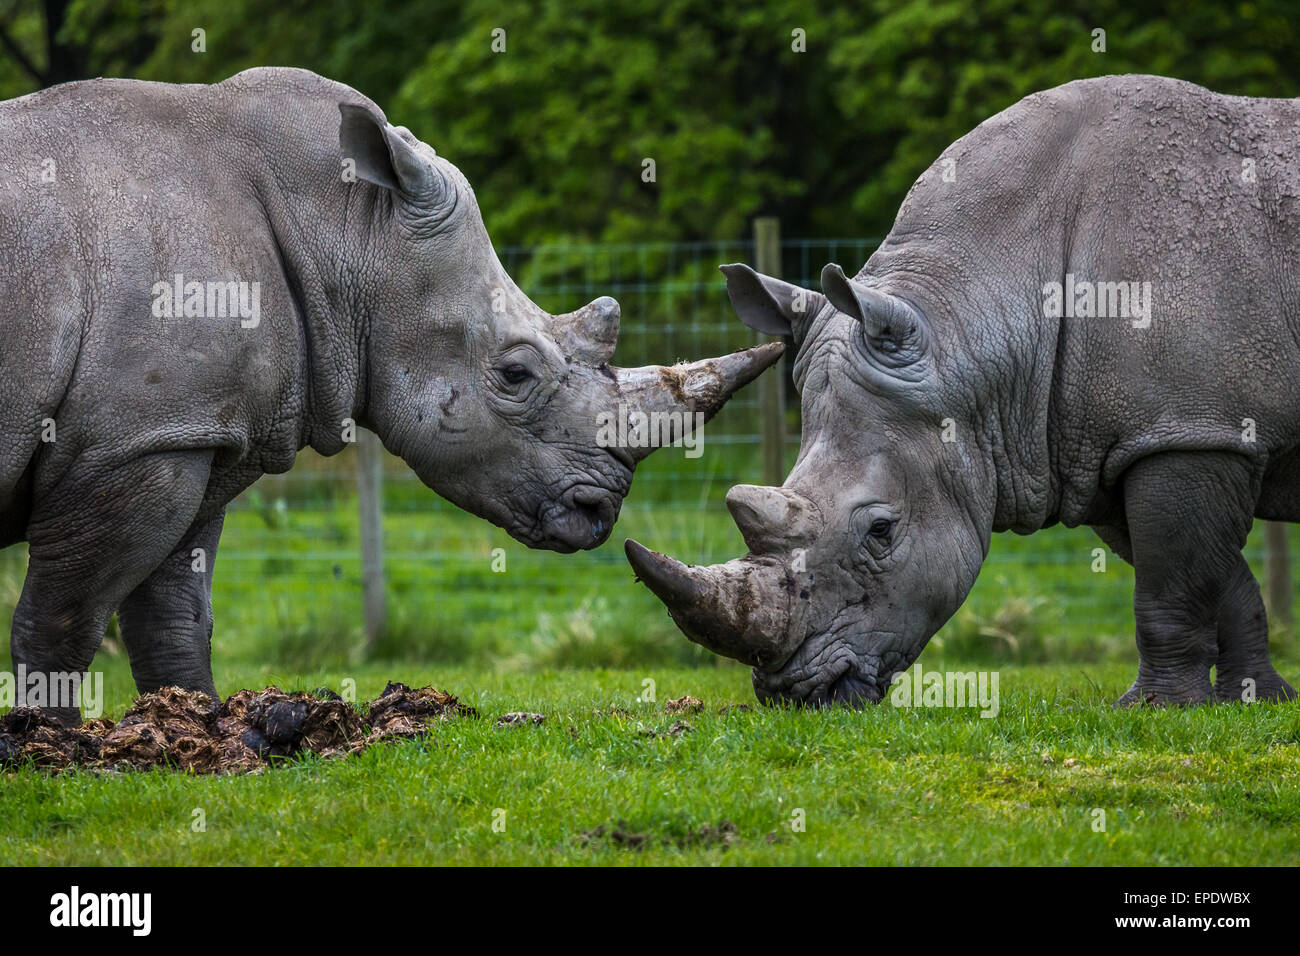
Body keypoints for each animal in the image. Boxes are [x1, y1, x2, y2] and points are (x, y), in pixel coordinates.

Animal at [0, 67, 781, 721]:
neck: (348, 229)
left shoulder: (183, 432)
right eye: (516, 375)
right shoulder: (129, 444)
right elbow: (64, 619)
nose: (601, 510)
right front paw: (50, 747)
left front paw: (197, 730)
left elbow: (175, 615)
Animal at [627, 74, 1299, 708]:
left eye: (881, 532)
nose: (794, 694)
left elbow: (1173, 580)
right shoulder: (1117, 442)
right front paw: (1256, 699)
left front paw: (1159, 709)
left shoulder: (1191, 428)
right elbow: (1215, 575)